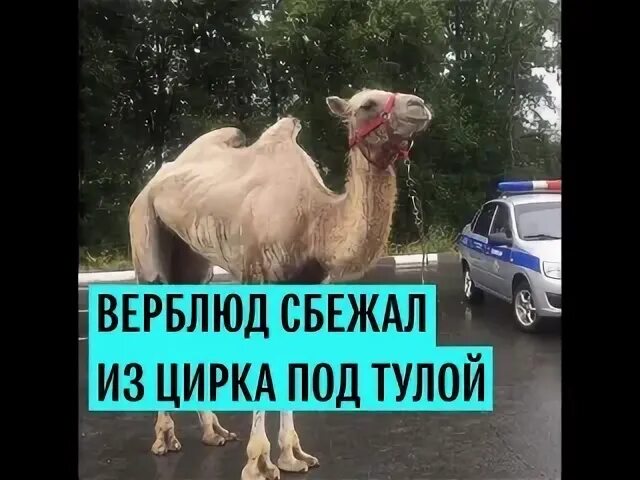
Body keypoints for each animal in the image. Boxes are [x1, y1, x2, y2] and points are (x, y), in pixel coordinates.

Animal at [128, 88, 433, 480]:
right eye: (366, 104)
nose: (418, 106)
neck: (314, 222)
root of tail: (151, 182)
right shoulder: (257, 275)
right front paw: (258, 463)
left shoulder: (305, 287)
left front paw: (292, 455)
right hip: (145, 236)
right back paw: (164, 439)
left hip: (193, 263)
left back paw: (214, 431)